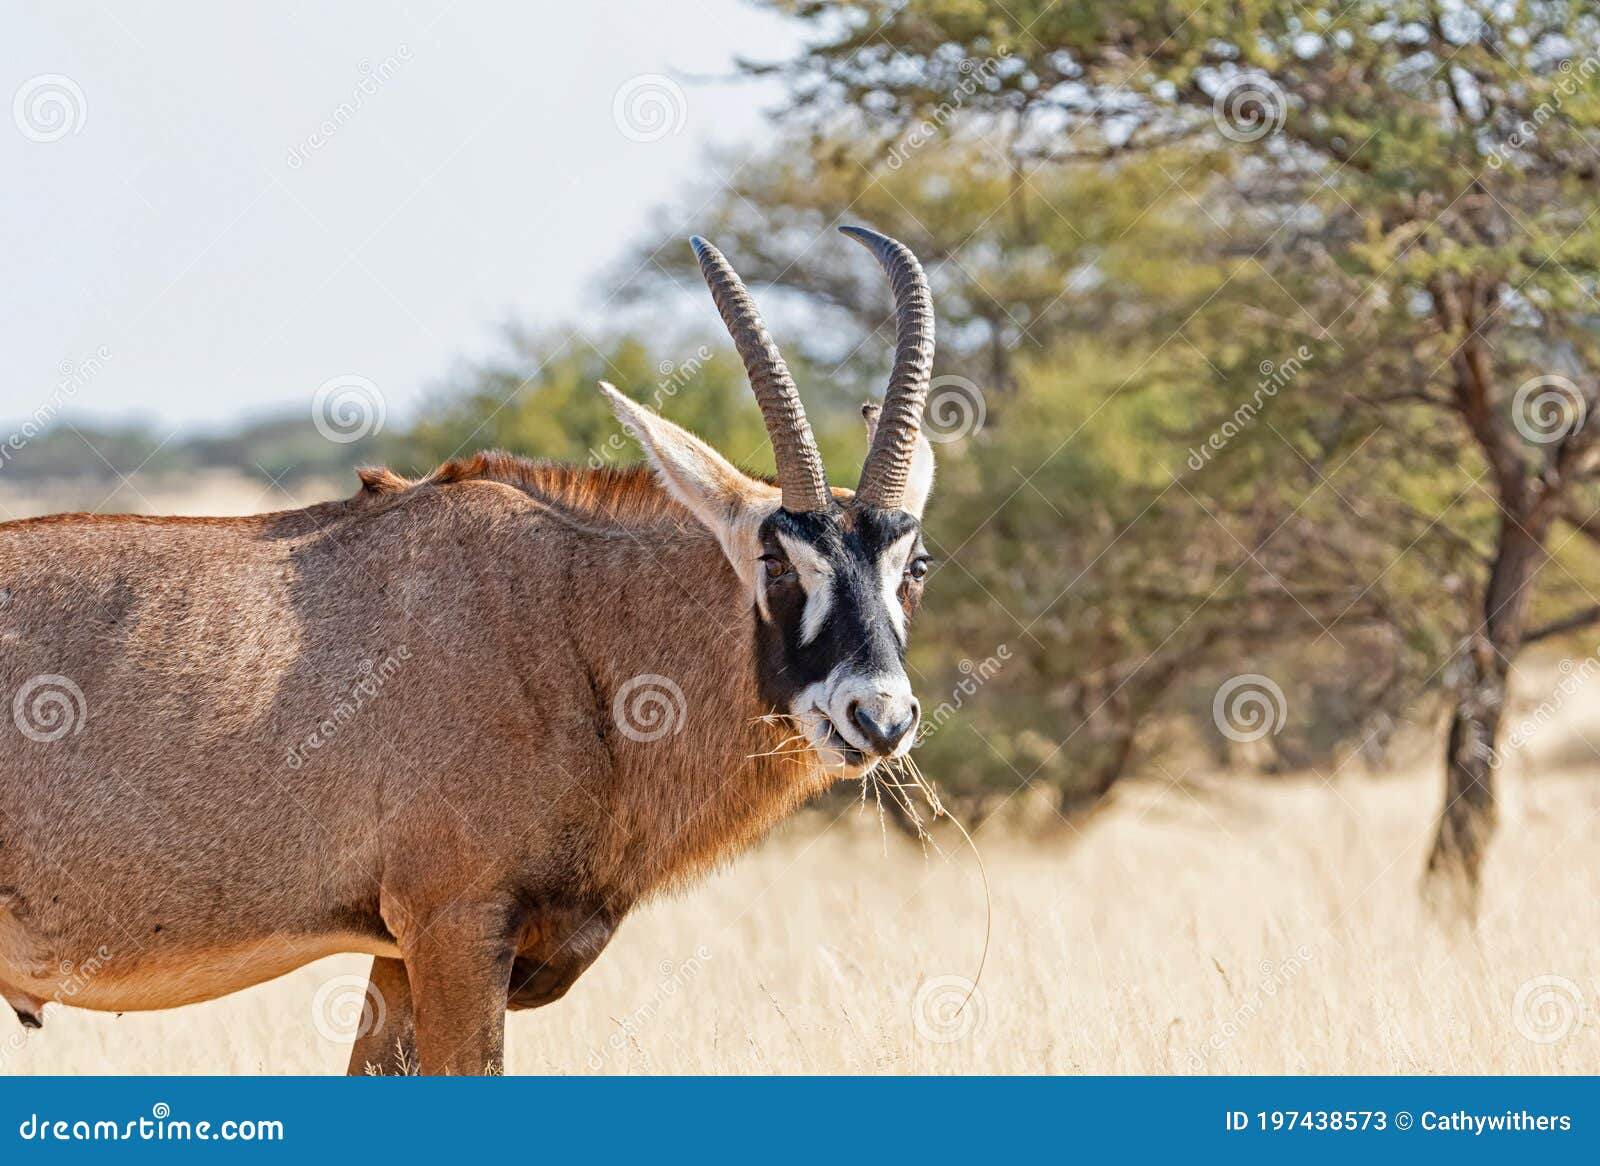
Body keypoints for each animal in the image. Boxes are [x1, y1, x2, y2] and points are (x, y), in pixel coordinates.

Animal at [0, 227, 939, 1074]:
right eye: (776, 560)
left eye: (916, 563)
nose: (879, 718)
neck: (573, 621)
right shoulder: (455, 924)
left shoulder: (398, 956)